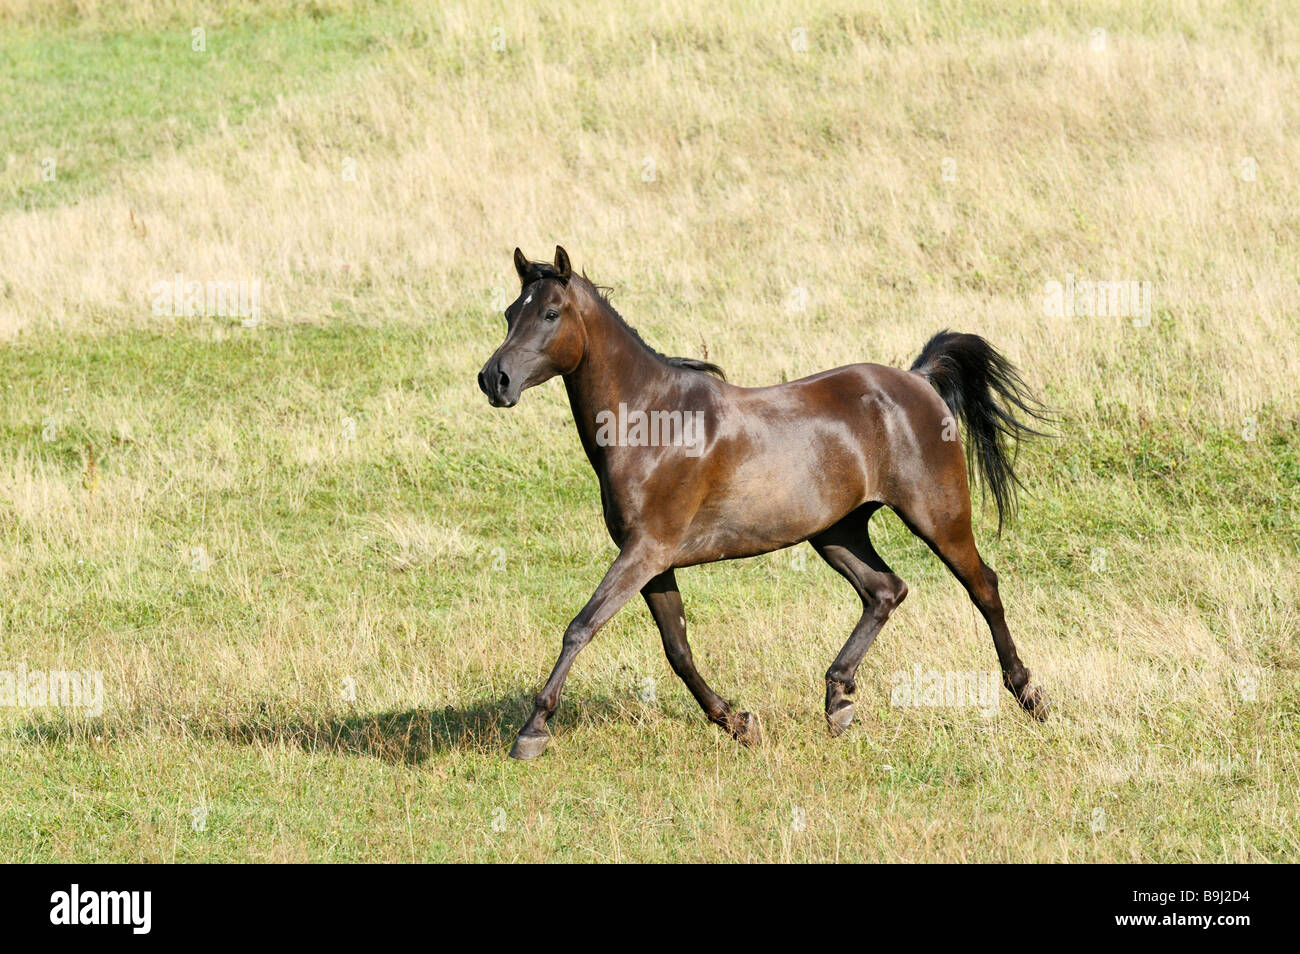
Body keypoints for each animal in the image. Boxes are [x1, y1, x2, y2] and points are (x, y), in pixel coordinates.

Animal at [478, 246, 1051, 760]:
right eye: (510, 313)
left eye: (550, 313)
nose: (494, 379)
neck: (650, 423)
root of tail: (918, 378)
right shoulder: (654, 561)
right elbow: (678, 649)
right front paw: (738, 724)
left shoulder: (645, 552)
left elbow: (581, 626)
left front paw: (532, 732)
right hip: (837, 531)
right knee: (885, 590)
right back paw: (838, 699)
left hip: (938, 517)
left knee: (983, 586)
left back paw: (1029, 695)